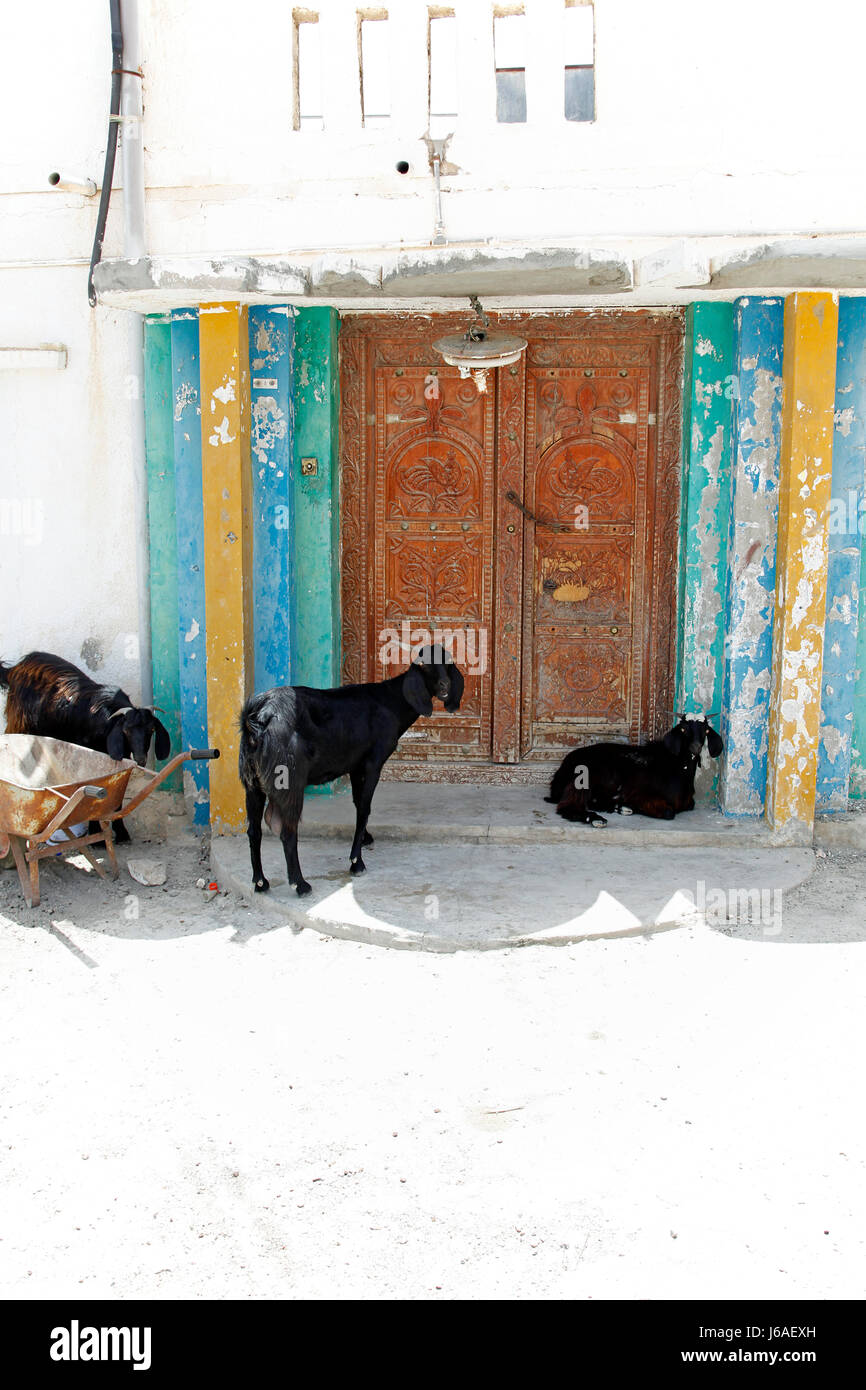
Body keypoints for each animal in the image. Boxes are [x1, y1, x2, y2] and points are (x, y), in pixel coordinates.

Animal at [0, 651, 171, 843]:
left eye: (151, 729)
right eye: (126, 730)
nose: (141, 759)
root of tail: (15, 668)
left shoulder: (121, 759)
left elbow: (115, 792)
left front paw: (121, 832)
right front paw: (97, 833)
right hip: (19, 723)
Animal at [239, 645, 465, 897]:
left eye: (448, 662)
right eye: (424, 664)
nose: (445, 685)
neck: (391, 701)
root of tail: (259, 719)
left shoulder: (356, 766)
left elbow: (358, 802)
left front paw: (365, 837)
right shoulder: (373, 762)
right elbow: (365, 807)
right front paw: (357, 862)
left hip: (252, 782)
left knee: (254, 830)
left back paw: (260, 882)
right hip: (288, 776)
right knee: (286, 829)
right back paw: (300, 884)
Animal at [546, 716, 724, 826]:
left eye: (706, 730)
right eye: (683, 730)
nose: (696, 747)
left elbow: (690, 805)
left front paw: (624, 806)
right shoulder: (640, 793)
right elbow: (668, 811)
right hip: (583, 778)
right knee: (567, 806)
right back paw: (597, 819)